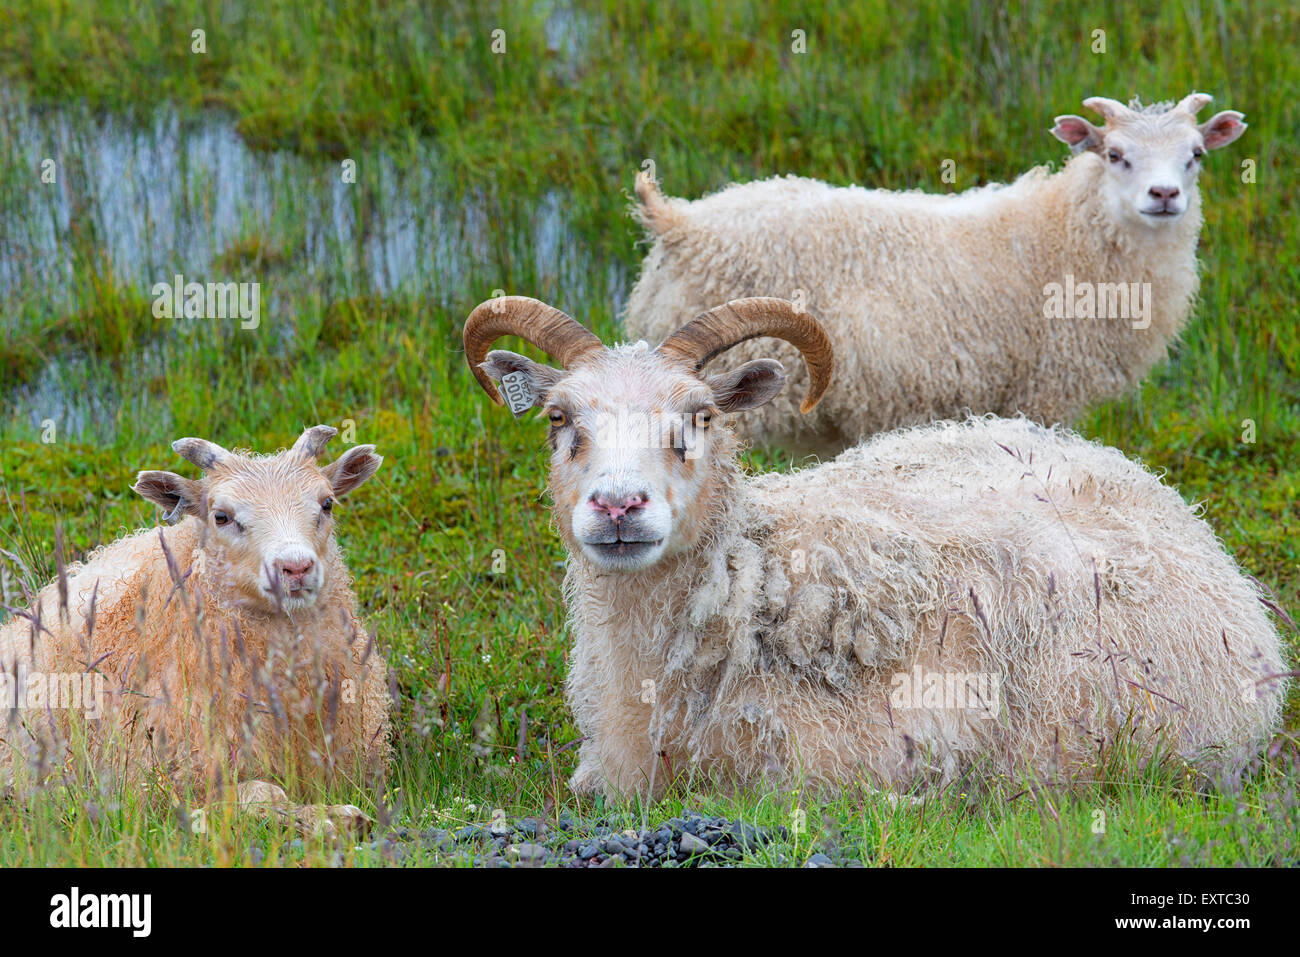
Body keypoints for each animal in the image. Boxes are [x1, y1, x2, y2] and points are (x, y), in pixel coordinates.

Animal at [0, 426, 390, 832]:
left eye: (326, 504)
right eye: (221, 516)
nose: (296, 568)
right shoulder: (157, 779)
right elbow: (261, 794)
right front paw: (329, 818)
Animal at [625, 92, 1248, 455]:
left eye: (1195, 154)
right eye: (1115, 155)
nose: (1164, 195)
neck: (1065, 235)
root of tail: (680, 224)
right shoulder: (1043, 391)